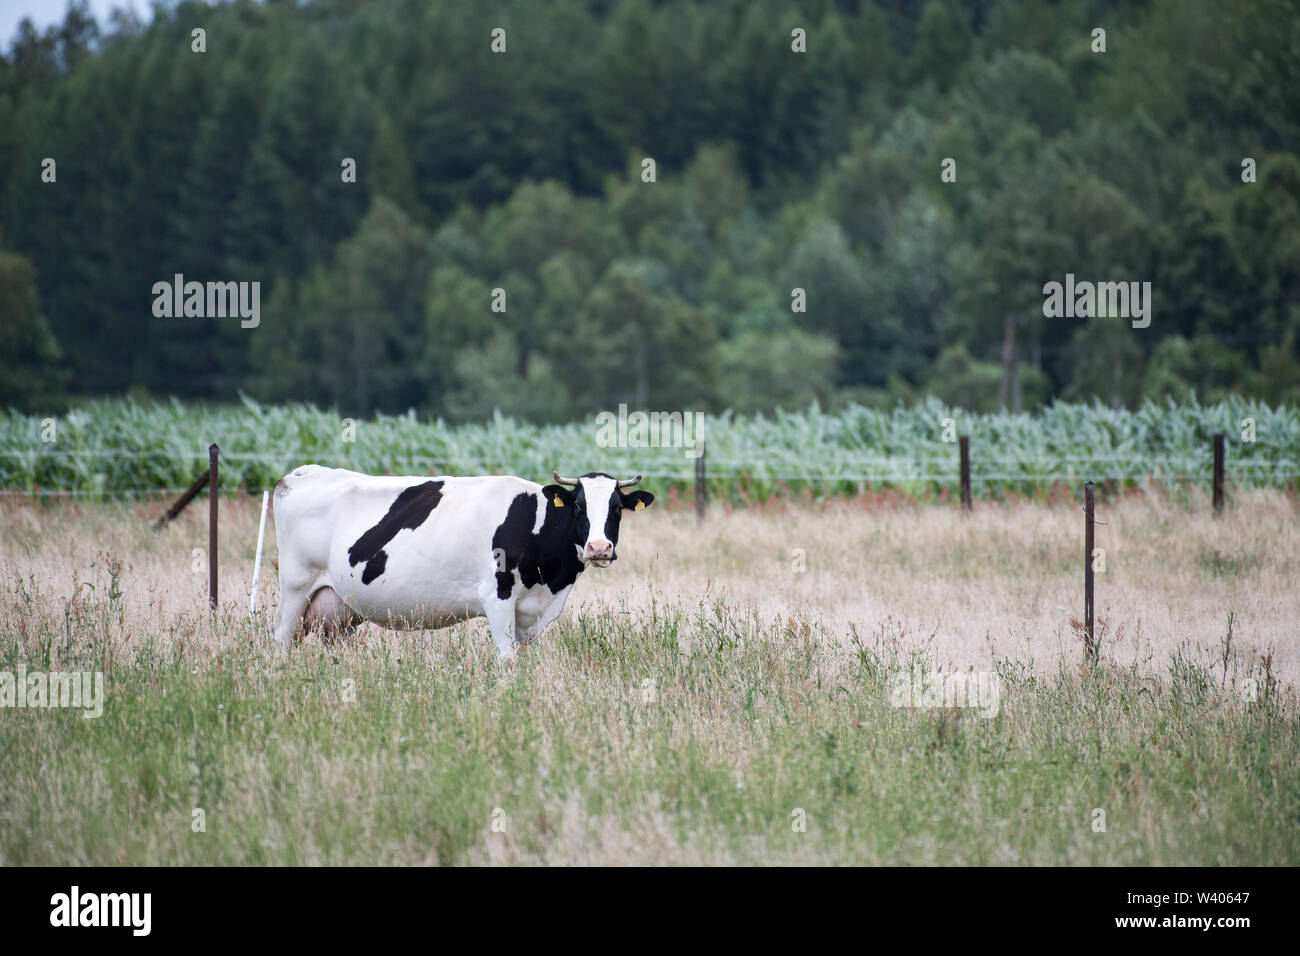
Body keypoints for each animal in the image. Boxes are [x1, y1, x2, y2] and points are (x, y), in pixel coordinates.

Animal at [271, 466, 654, 658]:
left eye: (617, 509)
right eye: (578, 506)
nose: (599, 547)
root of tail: (303, 474)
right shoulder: (497, 598)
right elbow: (507, 661)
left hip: (339, 611)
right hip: (295, 588)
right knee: (280, 643)